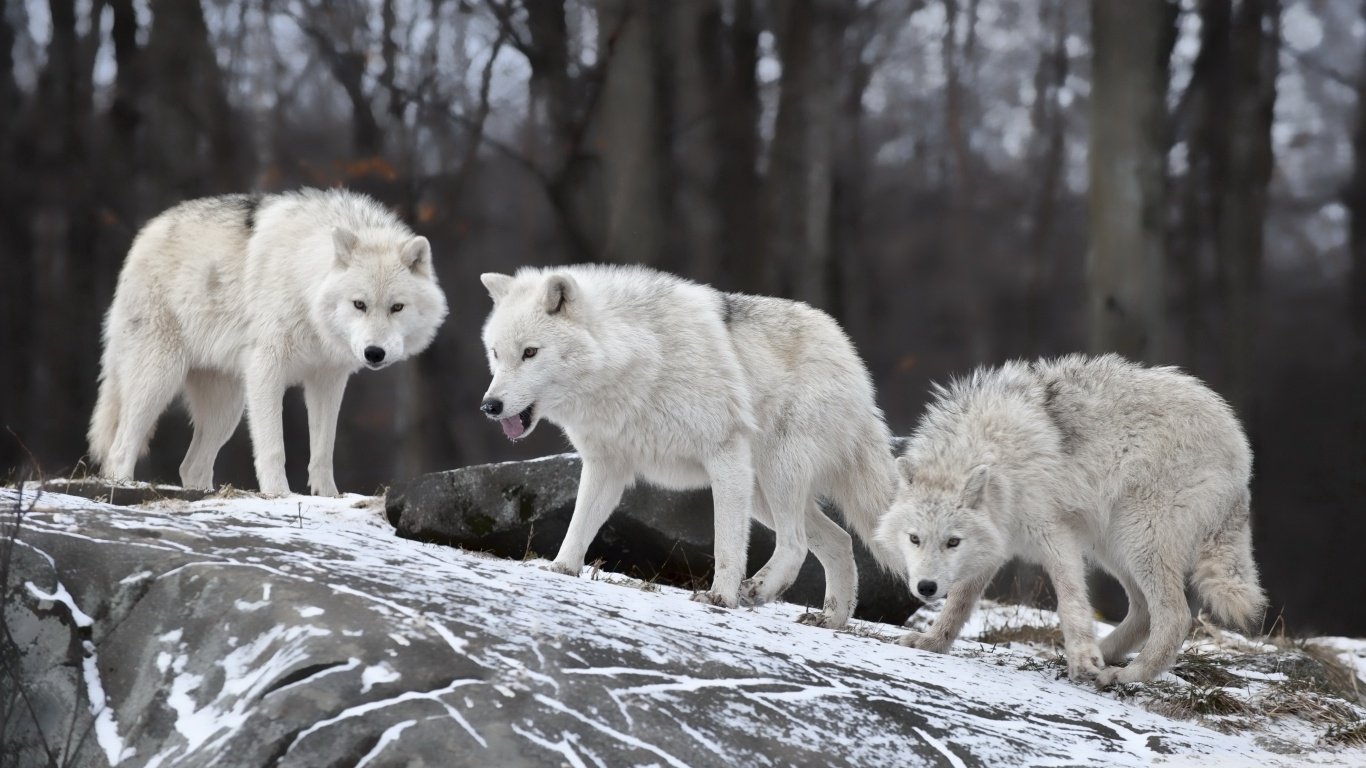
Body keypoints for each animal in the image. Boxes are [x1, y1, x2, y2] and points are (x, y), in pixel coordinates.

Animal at [89, 188, 448, 496]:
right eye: (359, 304)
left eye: (397, 307)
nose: (374, 353)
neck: (304, 282)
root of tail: (145, 233)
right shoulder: (267, 368)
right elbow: (274, 447)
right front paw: (279, 494)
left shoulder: (328, 379)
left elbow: (323, 451)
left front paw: (328, 497)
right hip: (160, 379)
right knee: (120, 449)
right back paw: (122, 486)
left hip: (226, 408)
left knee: (191, 466)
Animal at [477, 264, 896, 627]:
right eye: (496, 353)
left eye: (530, 352)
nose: (489, 406)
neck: (637, 359)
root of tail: (849, 354)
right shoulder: (606, 465)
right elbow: (579, 525)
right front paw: (561, 569)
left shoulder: (724, 454)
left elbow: (726, 543)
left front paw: (720, 597)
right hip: (761, 492)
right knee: (840, 541)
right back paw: (831, 620)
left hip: (775, 475)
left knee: (795, 544)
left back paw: (758, 592)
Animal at [874, 354, 1265, 684]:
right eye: (914, 539)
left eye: (952, 542)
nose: (926, 588)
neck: (997, 454)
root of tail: (1240, 445)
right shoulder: (995, 545)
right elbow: (958, 603)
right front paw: (932, 642)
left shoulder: (1055, 536)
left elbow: (1071, 602)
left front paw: (1082, 659)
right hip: (1112, 545)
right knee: (1142, 613)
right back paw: (1100, 656)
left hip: (1137, 539)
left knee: (1175, 617)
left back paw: (1127, 675)